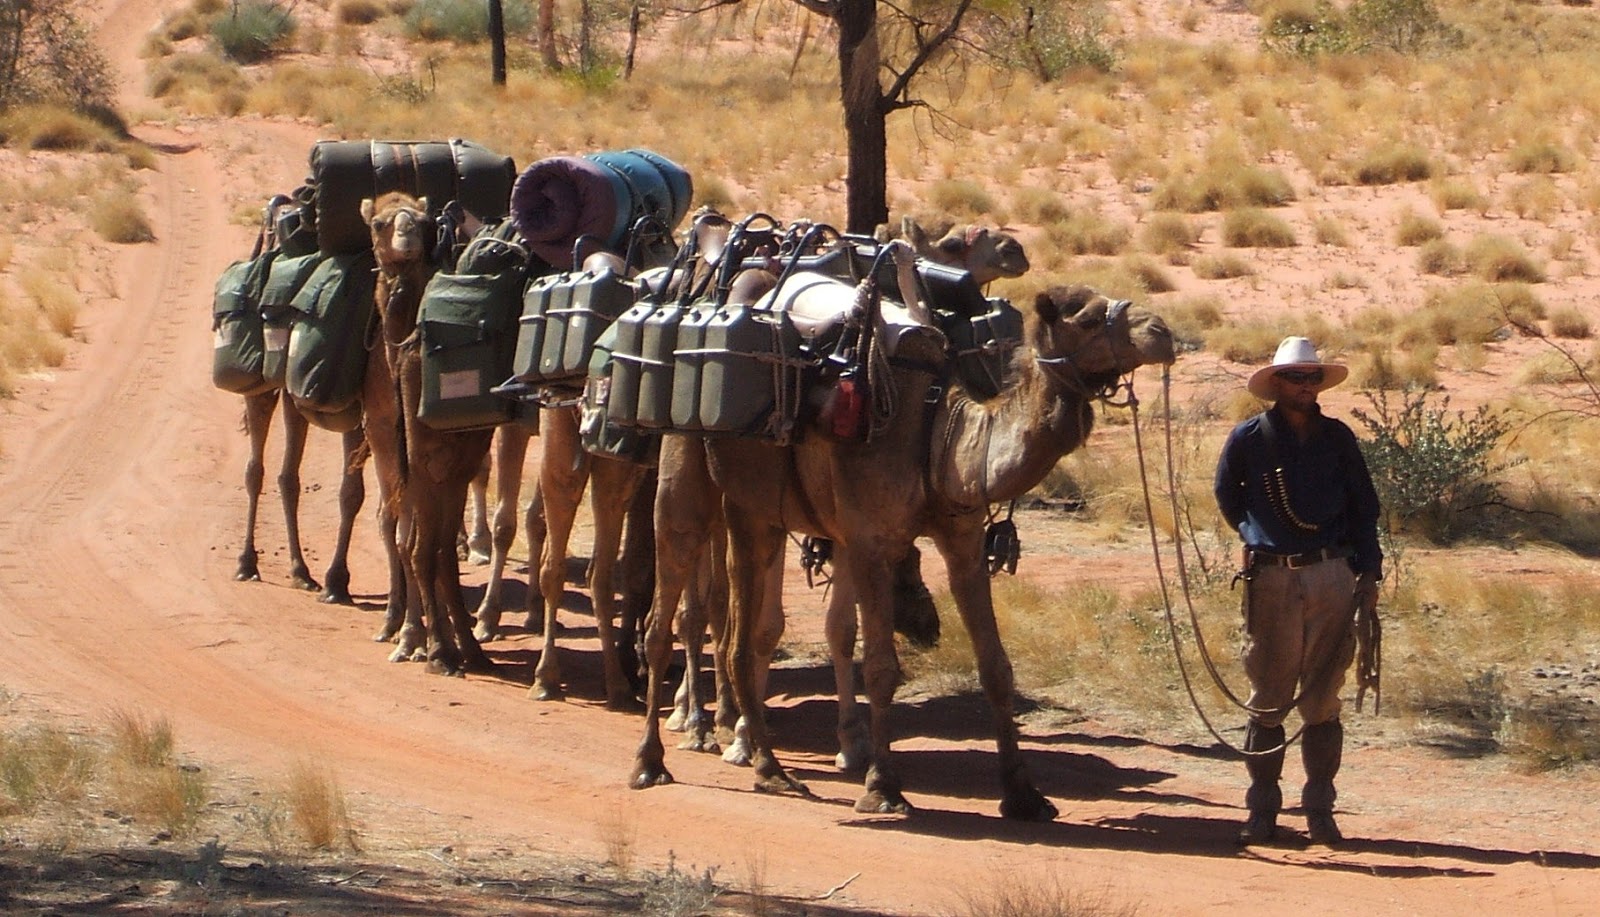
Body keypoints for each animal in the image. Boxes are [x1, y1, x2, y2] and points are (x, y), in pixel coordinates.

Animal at [360, 191, 494, 675]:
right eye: (378, 223)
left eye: (423, 220)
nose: (407, 236)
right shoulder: (394, 443)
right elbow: (410, 541)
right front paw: (418, 639)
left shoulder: (450, 461)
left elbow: (432, 548)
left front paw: (449, 640)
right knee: (393, 526)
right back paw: (398, 625)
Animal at [631, 285, 1173, 820]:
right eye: (1087, 318)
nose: (1162, 332)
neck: (937, 430)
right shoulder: (870, 542)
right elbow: (880, 667)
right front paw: (883, 787)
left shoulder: (963, 543)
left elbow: (996, 666)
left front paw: (1024, 793)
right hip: (684, 476)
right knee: (665, 618)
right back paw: (653, 760)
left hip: (755, 510)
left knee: (742, 639)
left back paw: (770, 769)